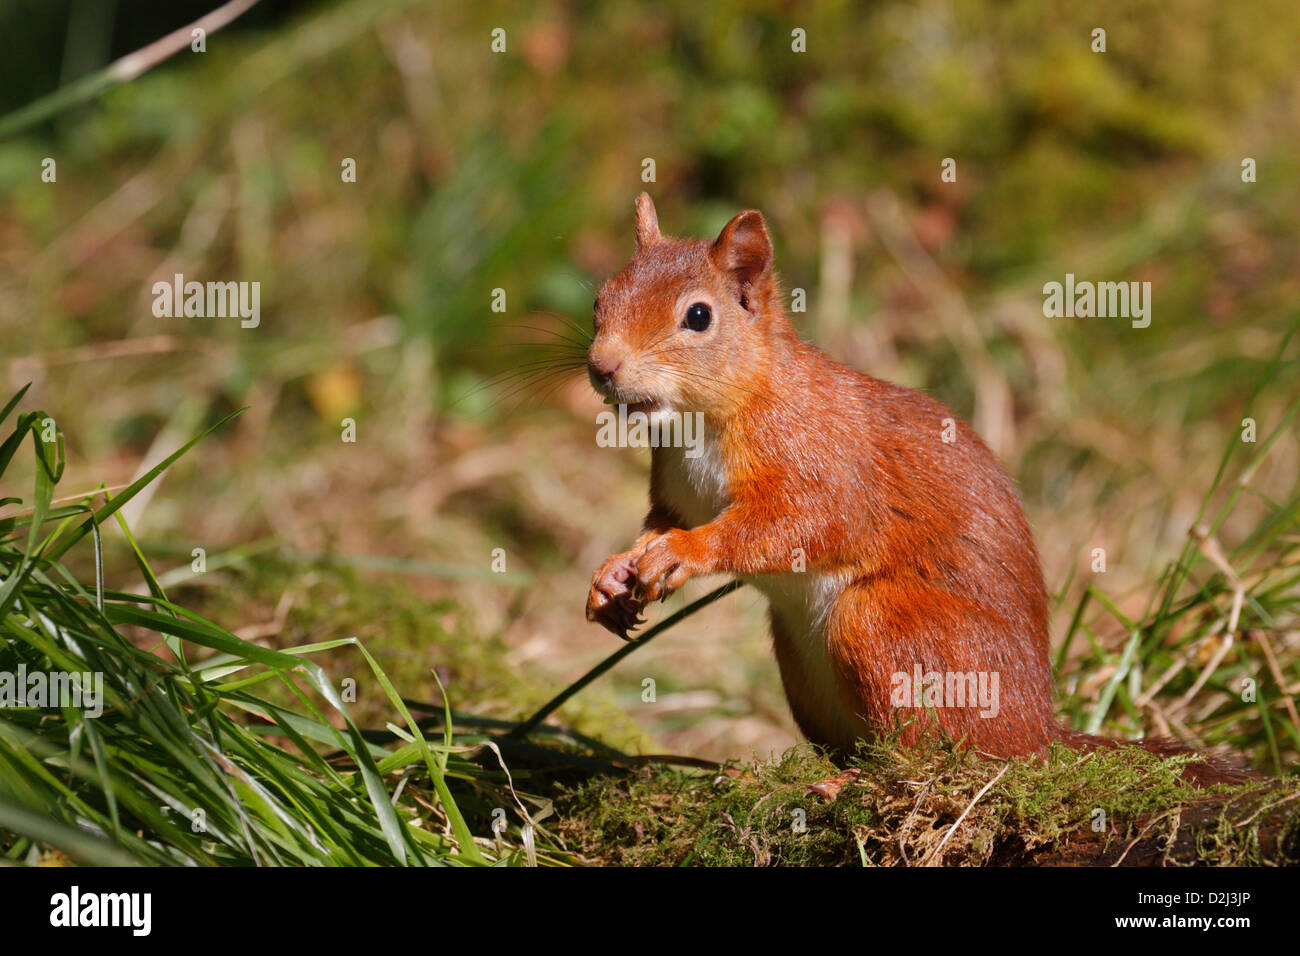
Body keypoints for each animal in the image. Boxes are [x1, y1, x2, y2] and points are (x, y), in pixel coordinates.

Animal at [584, 193, 1254, 787]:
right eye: (600, 298)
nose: (602, 367)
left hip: (888, 629)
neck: (705, 419)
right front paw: (613, 574)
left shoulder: (818, 462)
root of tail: (1039, 733)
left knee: (935, 756)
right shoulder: (676, 493)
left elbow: (798, 526)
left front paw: (683, 553)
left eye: (698, 316)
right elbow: (658, 522)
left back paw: (857, 782)